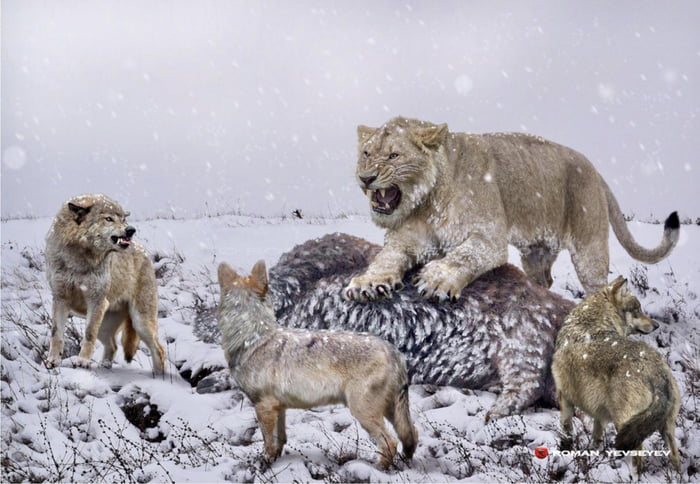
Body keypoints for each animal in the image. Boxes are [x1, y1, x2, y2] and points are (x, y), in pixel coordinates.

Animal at [343, 116, 679, 302]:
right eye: (366, 153)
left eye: (394, 156)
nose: (365, 177)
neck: (426, 202)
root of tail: (595, 170)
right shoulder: (406, 238)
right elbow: (386, 258)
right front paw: (367, 282)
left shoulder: (488, 237)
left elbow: (463, 255)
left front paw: (437, 280)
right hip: (535, 252)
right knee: (544, 280)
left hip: (589, 247)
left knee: (599, 286)